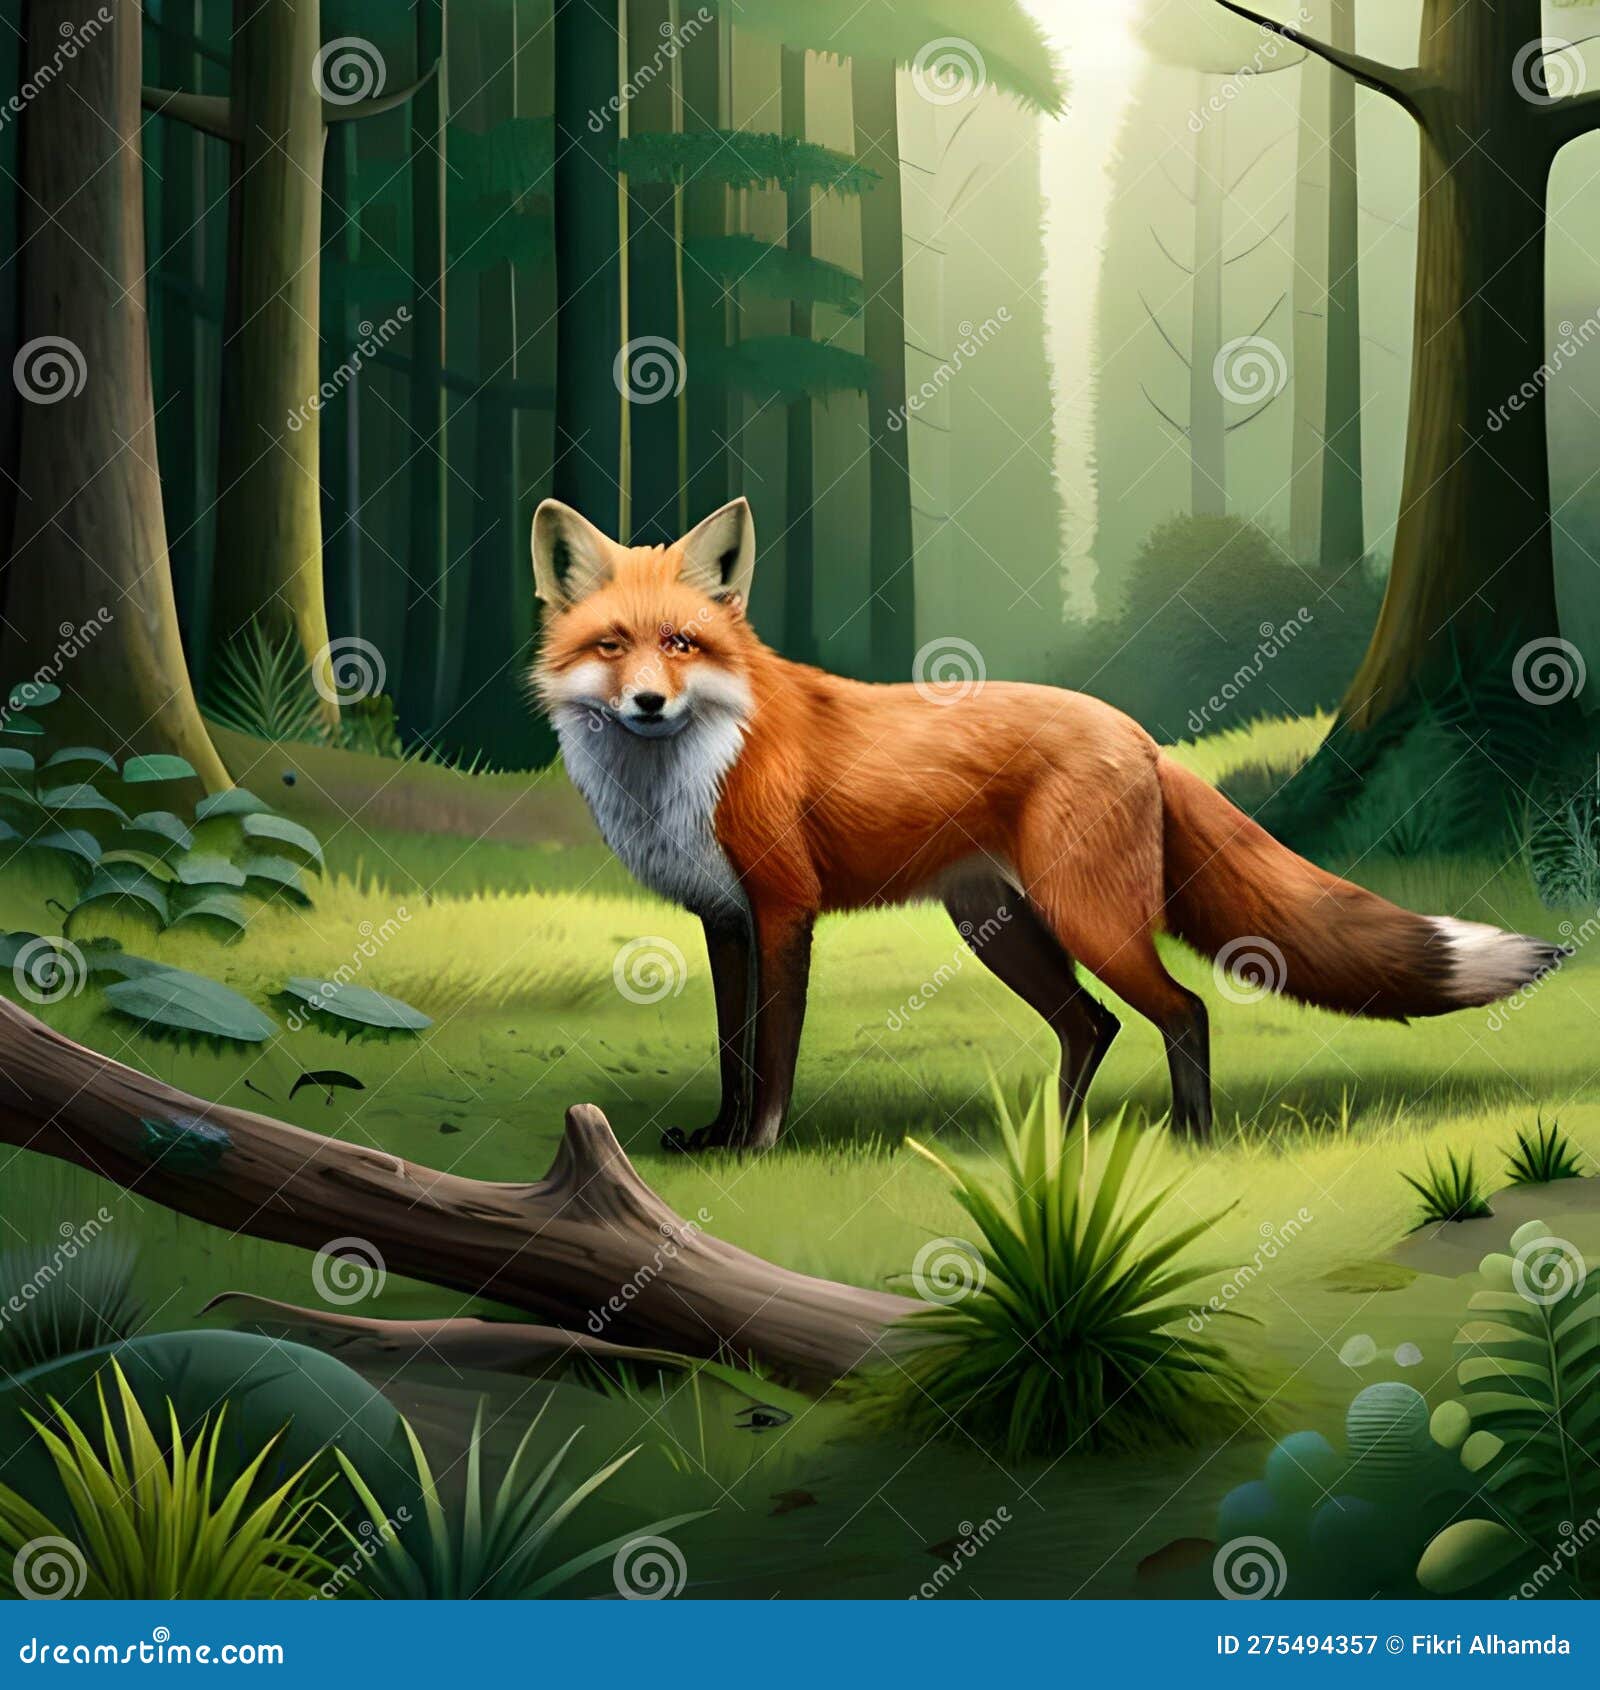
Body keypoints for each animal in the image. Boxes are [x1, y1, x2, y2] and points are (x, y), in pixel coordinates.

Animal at [531, 495, 1565, 1153]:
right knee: (1092, 1026)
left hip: (1086, 919)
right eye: (611, 646)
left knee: (1180, 1011)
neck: (691, 770)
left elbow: (774, 1054)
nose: (651, 704)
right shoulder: (724, 920)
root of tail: (1140, 734)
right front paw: (714, 1137)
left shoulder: (785, 909)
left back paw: (1191, 1144)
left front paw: (757, 1148)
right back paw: (1056, 1144)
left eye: (682, 644)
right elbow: (730, 1049)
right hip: (999, 926)